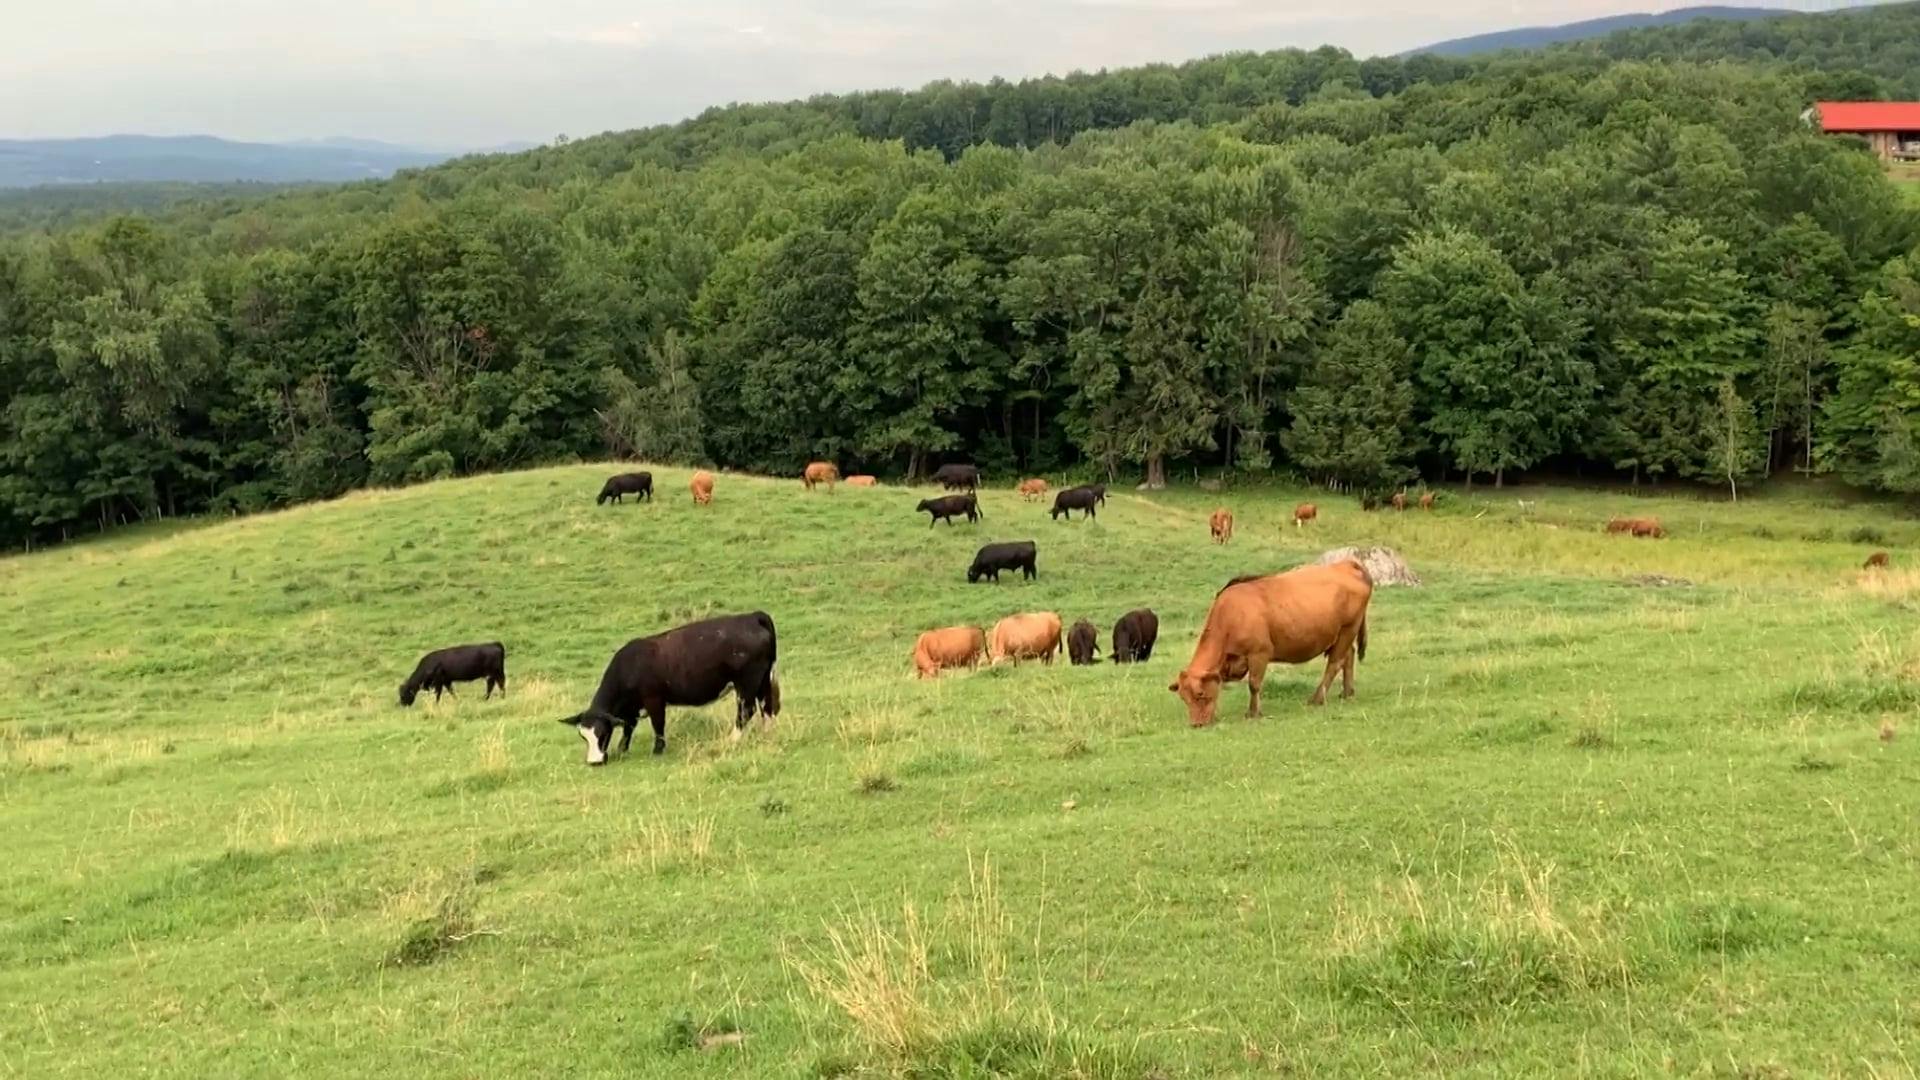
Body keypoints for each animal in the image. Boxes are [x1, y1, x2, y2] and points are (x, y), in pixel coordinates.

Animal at [558, 613, 779, 764]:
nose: (594, 762)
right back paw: (767, 735)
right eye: (583, 736)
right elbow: (629, 727)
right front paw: (622, 748)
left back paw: (732, 740)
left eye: (603, 733)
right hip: (762, 681)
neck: (630, 665)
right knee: (766, 708)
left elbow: (658, 724)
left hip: (747, 683)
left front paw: (657, 749)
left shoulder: (654, 699)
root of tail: (752, 617)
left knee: (746, 711)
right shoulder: (631, 708)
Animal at [1169, 561, 1372, 728]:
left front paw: (1253, 713)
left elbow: (1254, 684)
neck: (1231, 616)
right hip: (1343, 635)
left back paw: (1317, 699)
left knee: (1334, 664)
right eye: (1184, 698)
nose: (1196, 724)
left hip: (1348, 629)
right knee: (1348, 656)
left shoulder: (1259, 653)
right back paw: (1347, 692)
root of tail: (1346, 564)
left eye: (1200, 694)